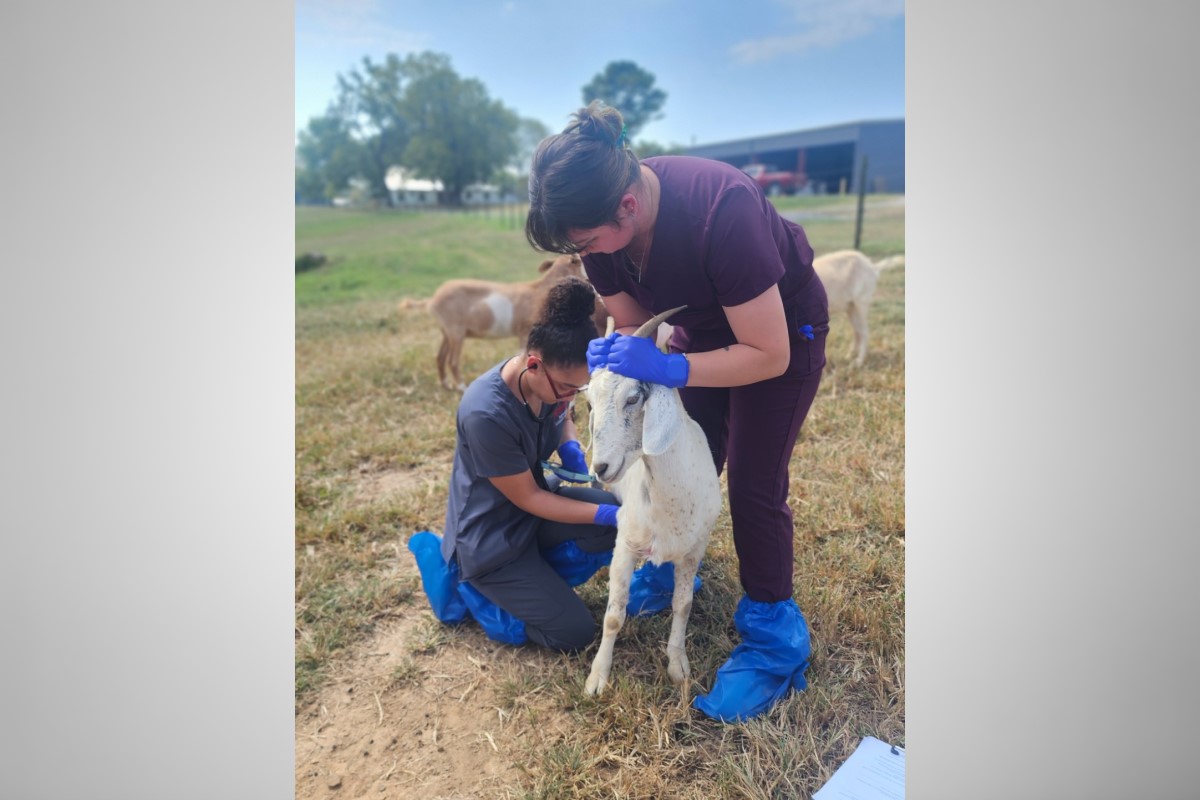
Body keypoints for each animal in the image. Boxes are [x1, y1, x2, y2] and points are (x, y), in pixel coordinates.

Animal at [411, 254, 586, 390]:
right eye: (578, 261)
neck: (538, 291)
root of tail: (432, 300)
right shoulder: (524, 331)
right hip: (456, 331)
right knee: (452, 360)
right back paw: (461, 386)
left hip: (446, 331)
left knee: (440, 356)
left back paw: (445, 384)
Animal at [583, 306, 722, 696]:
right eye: (588, 403)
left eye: (633, 398)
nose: (601, 467)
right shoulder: (625, 545)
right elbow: (613, 616)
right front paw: (598, 678)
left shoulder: (693, 550)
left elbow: (683, 604)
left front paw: (678, 666)